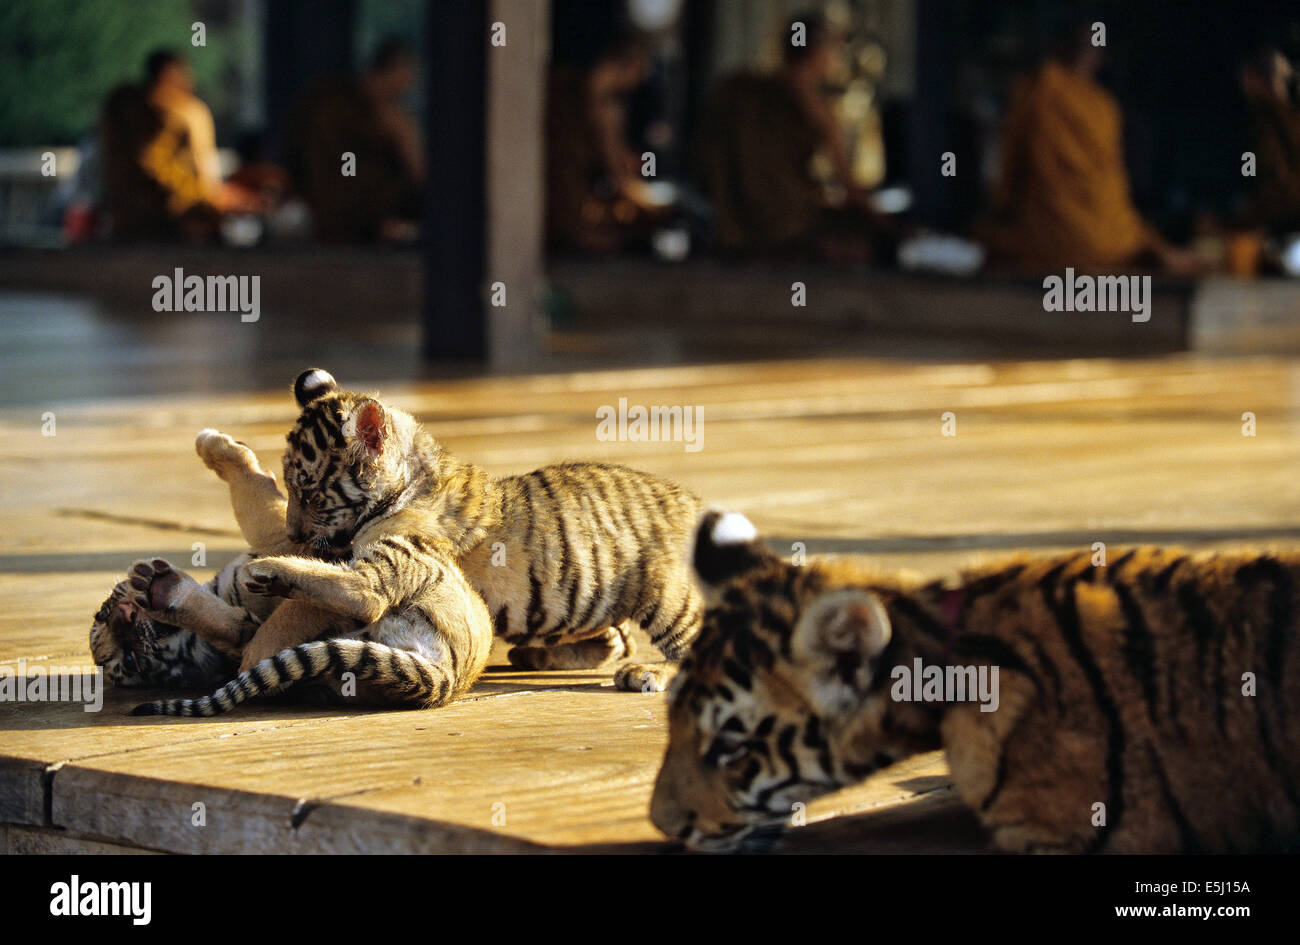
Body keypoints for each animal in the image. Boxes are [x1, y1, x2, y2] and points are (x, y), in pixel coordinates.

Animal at [93, 429, 493, 716]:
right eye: (129, 661)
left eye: (101, 615)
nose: (124, 616)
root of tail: (448, 679)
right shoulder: (285, 543)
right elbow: (260, 508)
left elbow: (255, 500)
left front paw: (213, 445)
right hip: (406, 553)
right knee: (367, 594)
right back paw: (270, 574)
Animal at [230, 368, 704, 692]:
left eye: (309, 494)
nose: (294, 534)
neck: (408, 483)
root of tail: (699, 503)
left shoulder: (391, 559)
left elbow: (317, 603)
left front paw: (255, 648)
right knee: (617, 638)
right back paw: (536, 654)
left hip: (667, 595)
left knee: (689, 642)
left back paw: (647, 672)